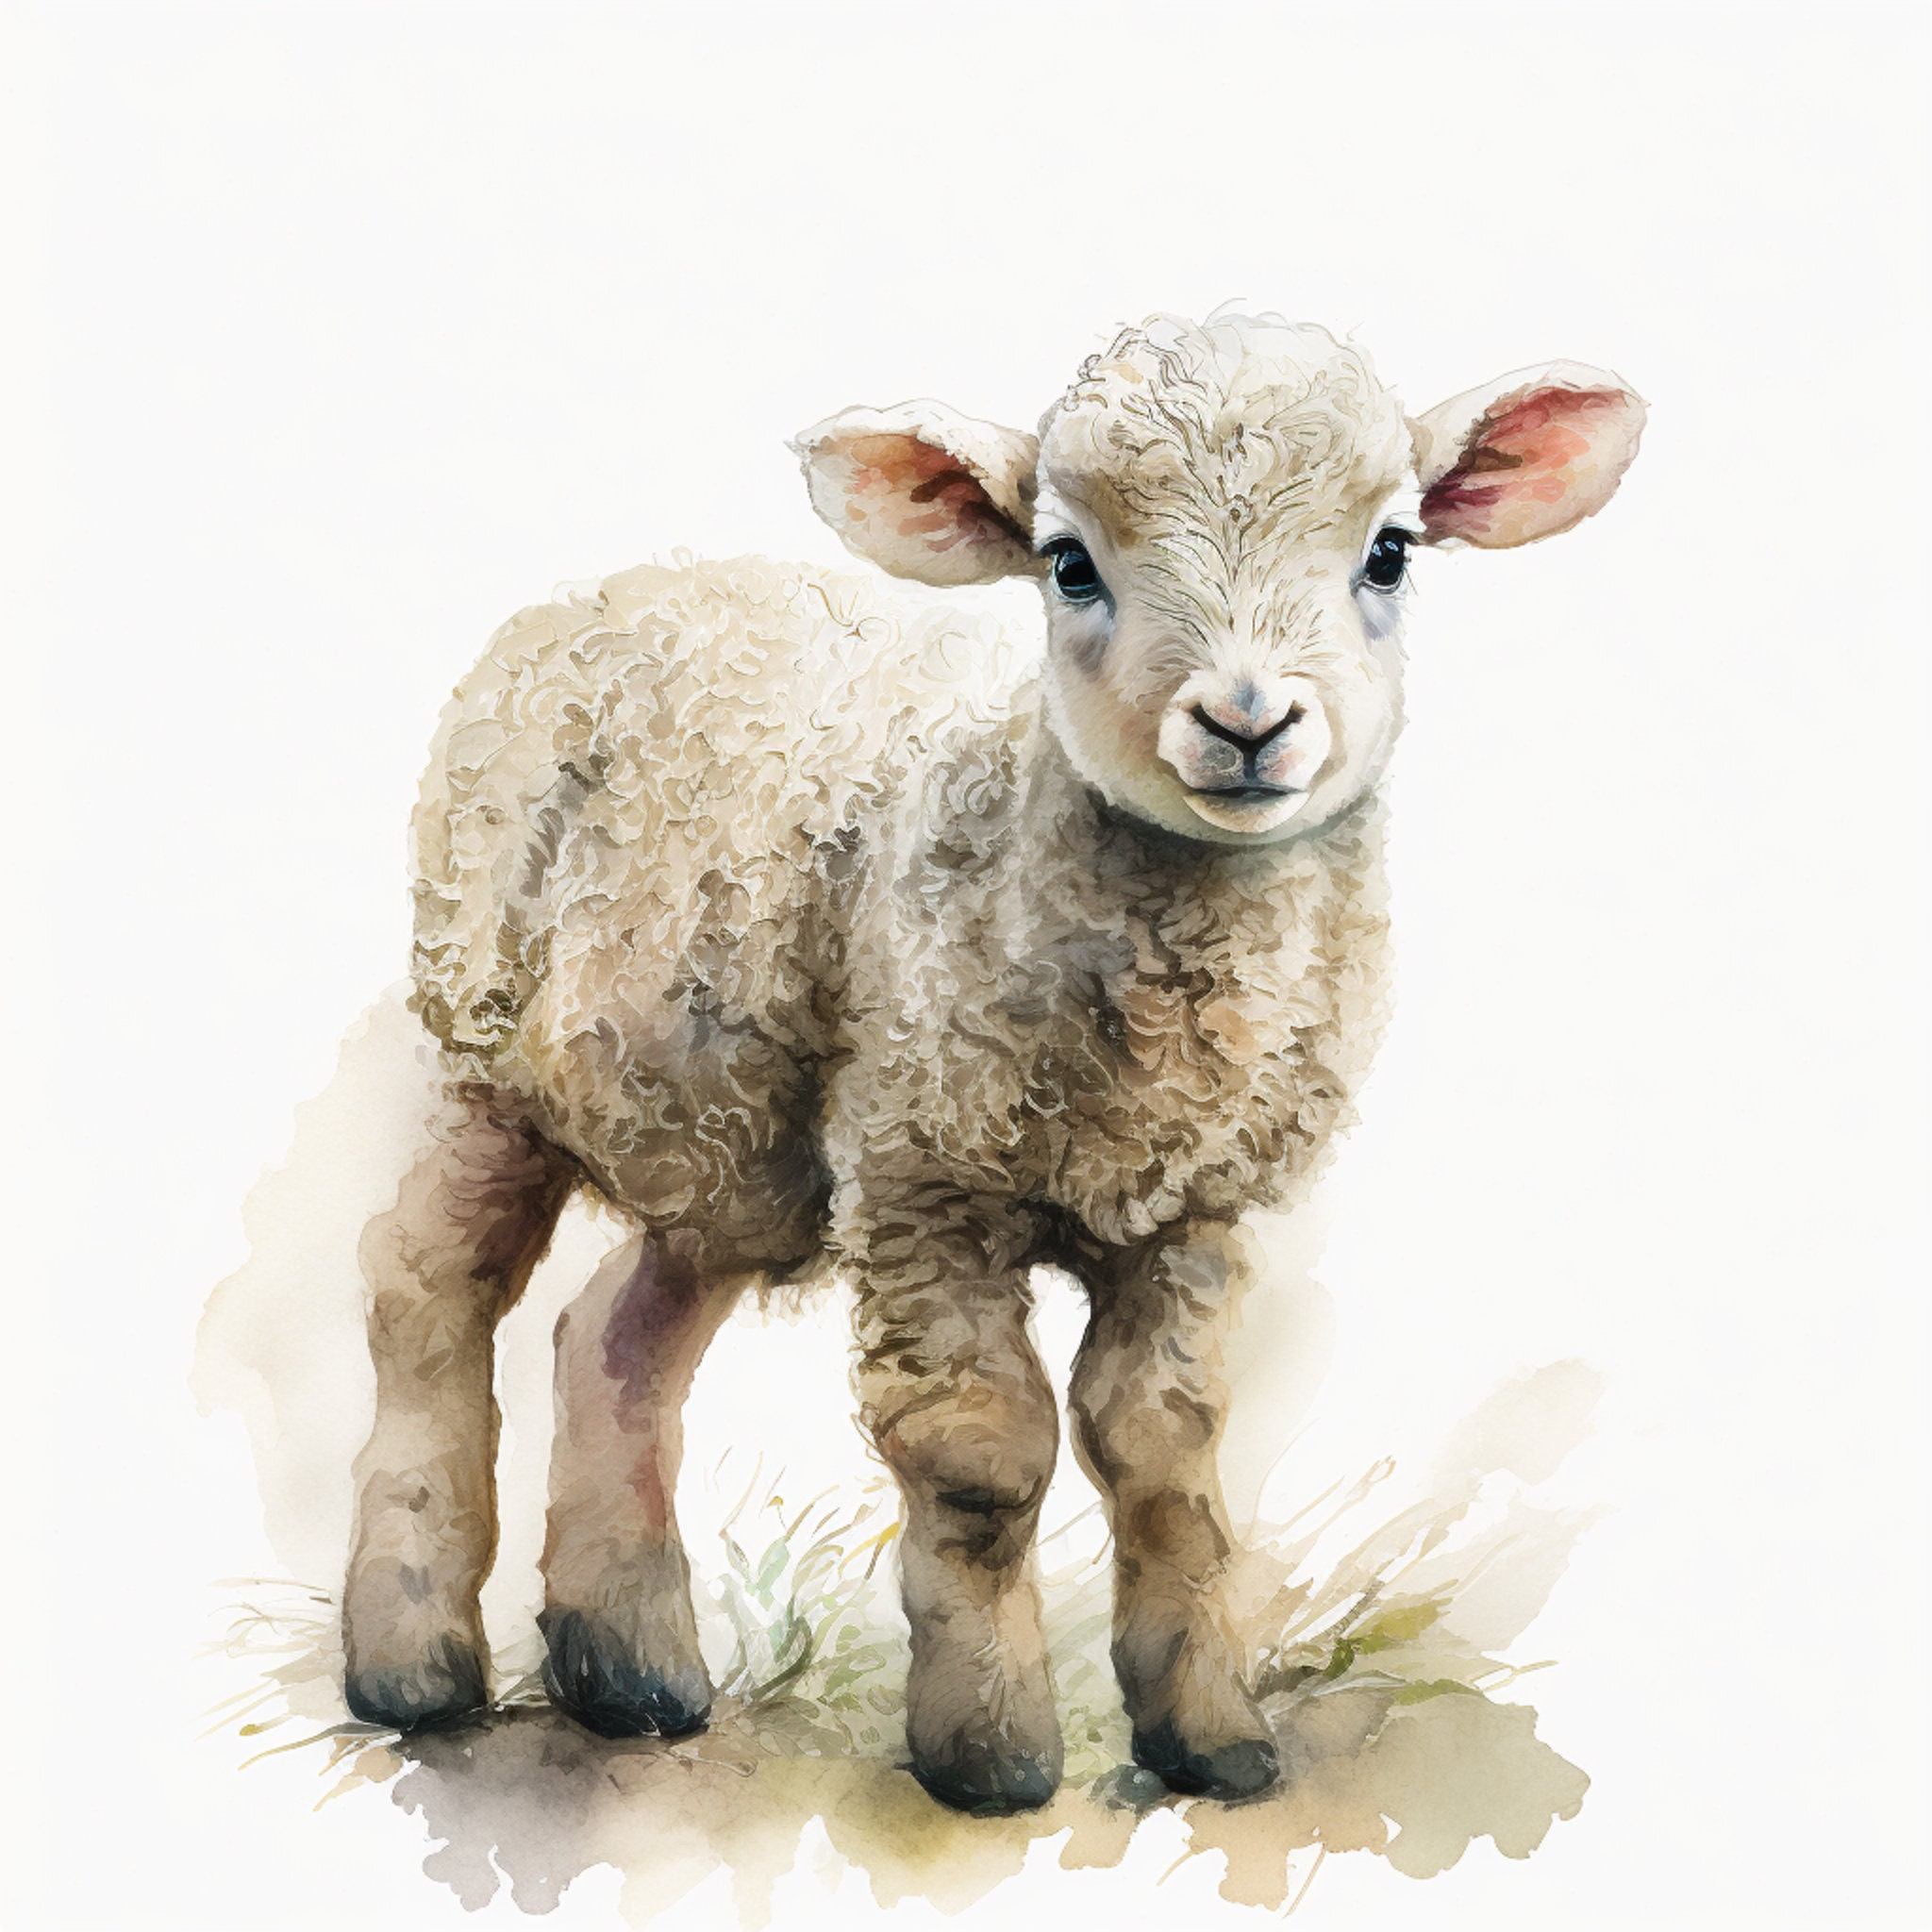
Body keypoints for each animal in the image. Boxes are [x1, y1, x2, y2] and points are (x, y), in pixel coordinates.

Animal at [342, 312, 1645, 1816]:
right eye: (1069, 561)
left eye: (1389, 552)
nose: (1247, 723)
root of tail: (618, 582)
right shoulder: (926, 1176)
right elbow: (980, 1459)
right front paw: (991, 1749)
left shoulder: (1190, 1208)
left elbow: (1161, 1450)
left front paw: (1212, 1737)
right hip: (488, 1044)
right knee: (427, 1290)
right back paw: (410, 1659)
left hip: (735, 1130)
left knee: (615, 1333)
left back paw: (632, 1672)